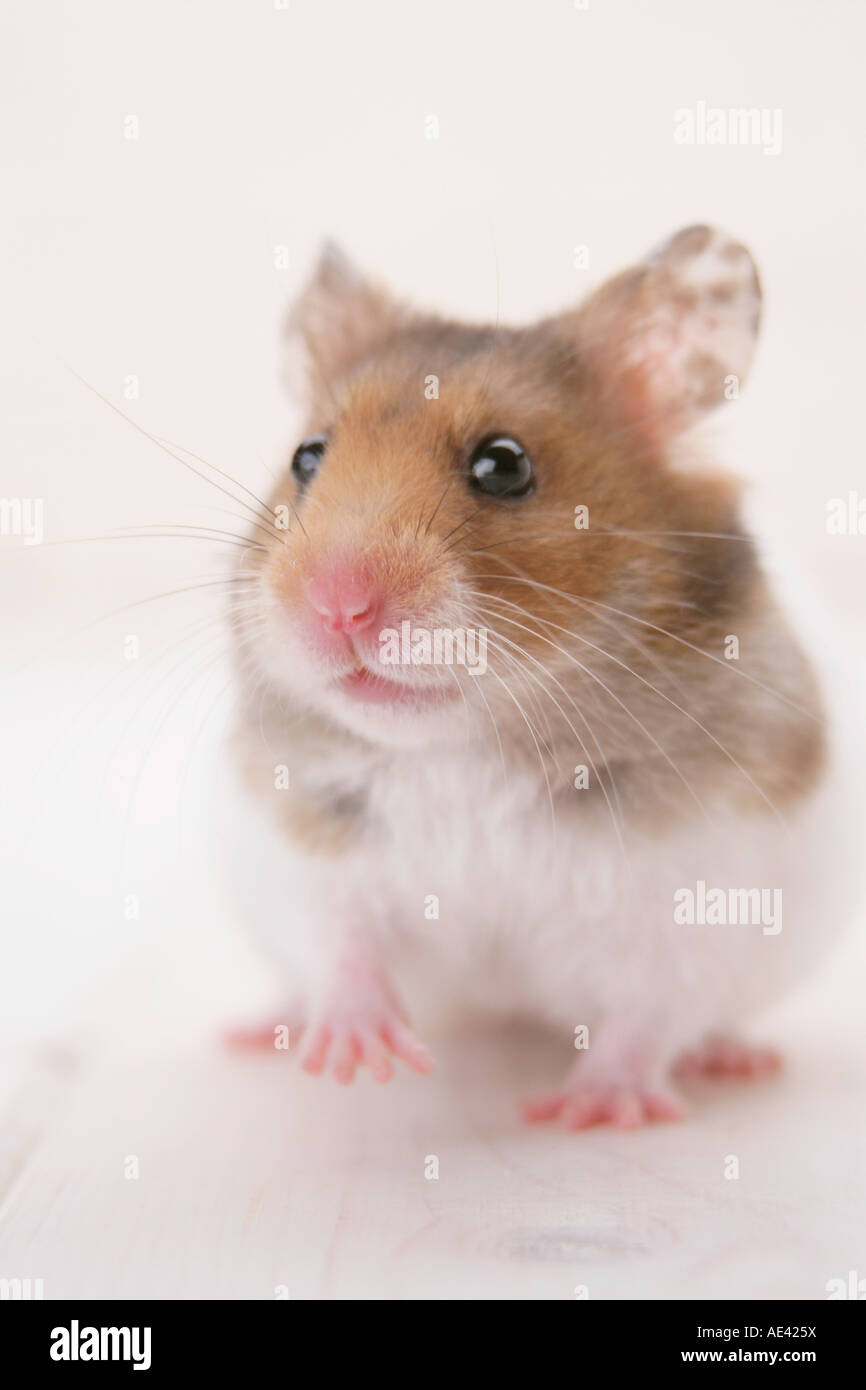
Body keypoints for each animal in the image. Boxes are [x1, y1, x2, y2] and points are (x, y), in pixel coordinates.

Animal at [221, 226, 860, 1129]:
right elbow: (342, 948)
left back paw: (737, 1059)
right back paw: (256, 1031)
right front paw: (358, 1060)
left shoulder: (701, 899)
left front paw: (590, 1111)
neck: (464, 747)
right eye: (306, 458)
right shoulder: (306, 853)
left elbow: (650, 1013)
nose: (336, 604)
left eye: (504, 466)